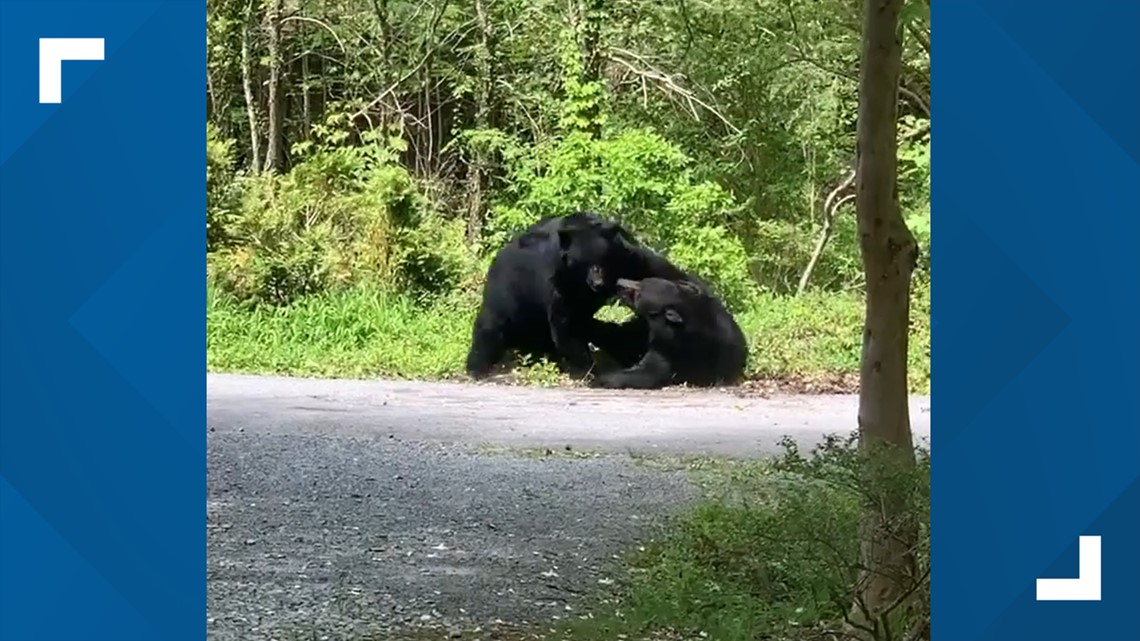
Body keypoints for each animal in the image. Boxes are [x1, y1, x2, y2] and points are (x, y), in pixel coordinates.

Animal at [466, 211, 686, 379]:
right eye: (584, 263)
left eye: (602, 261)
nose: (598, 283)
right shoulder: (557, 280)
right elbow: (566, 324)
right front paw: (590, 369)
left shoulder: (626, 257)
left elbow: (657, 269)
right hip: (507, 298)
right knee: (489, 328)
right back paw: (476, 367)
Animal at [587, 276, 747, 390]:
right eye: (641, 280)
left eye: (638, 293)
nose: (619, 282)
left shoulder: (674, 349)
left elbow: (650, 372)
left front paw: (600, 379)